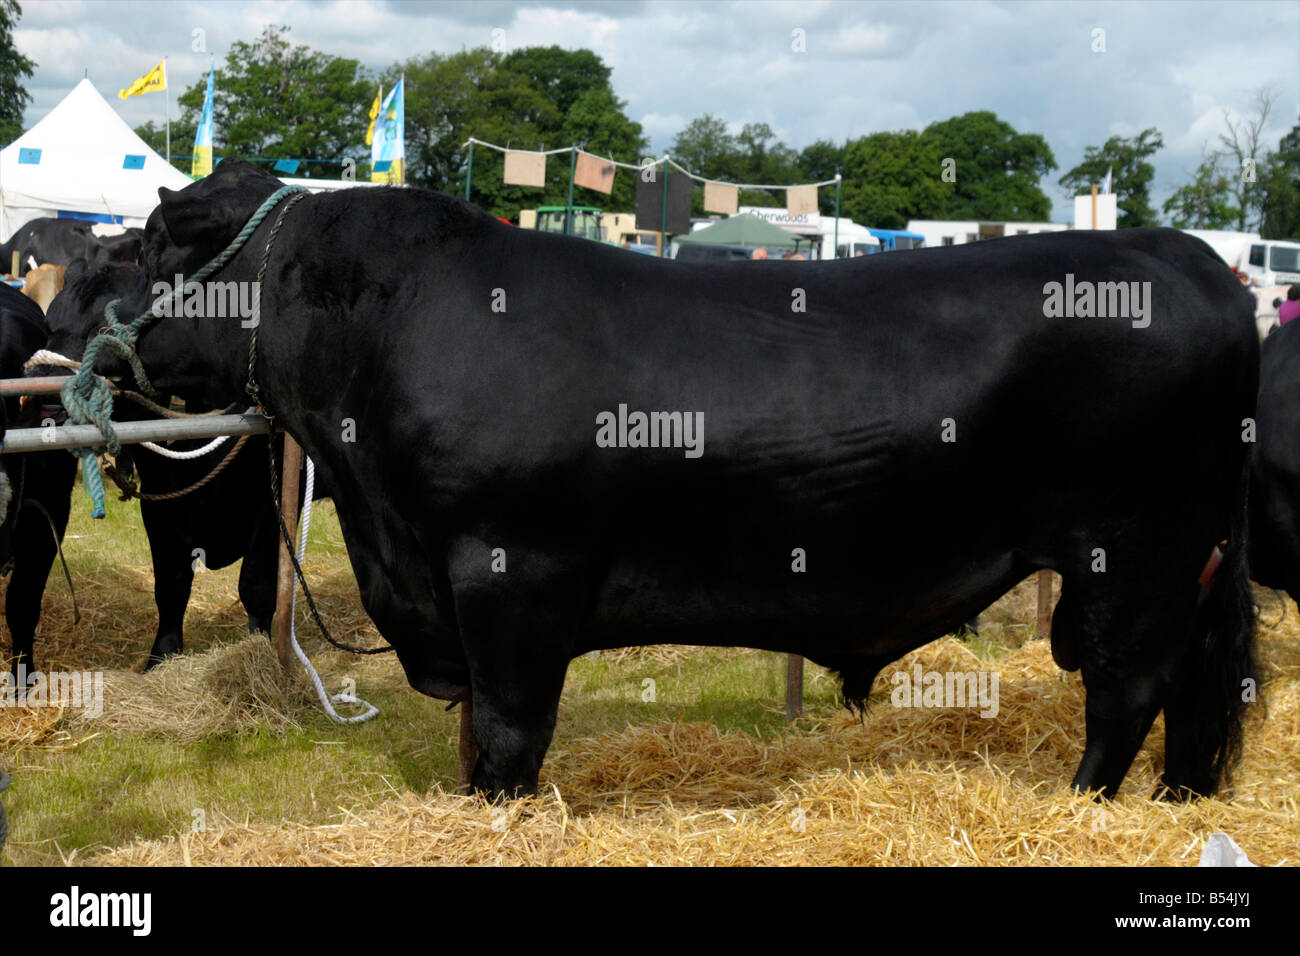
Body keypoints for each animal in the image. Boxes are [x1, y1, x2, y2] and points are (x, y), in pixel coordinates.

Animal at [4, 262, 308, 679]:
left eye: (100, 330)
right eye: (49, 325)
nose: (44, 397)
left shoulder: (269, 504)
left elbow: (257, 587)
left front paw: (257, 654)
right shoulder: (160, 504)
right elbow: (171, 586)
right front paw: (160, 659)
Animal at [98, 158, 1258, 801]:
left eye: (150, 245)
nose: (97, 352)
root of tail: (1193, 260)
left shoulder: (512, 581)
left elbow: (511, 739)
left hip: (1135, 553)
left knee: (1125, 691)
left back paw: (1082, 806)